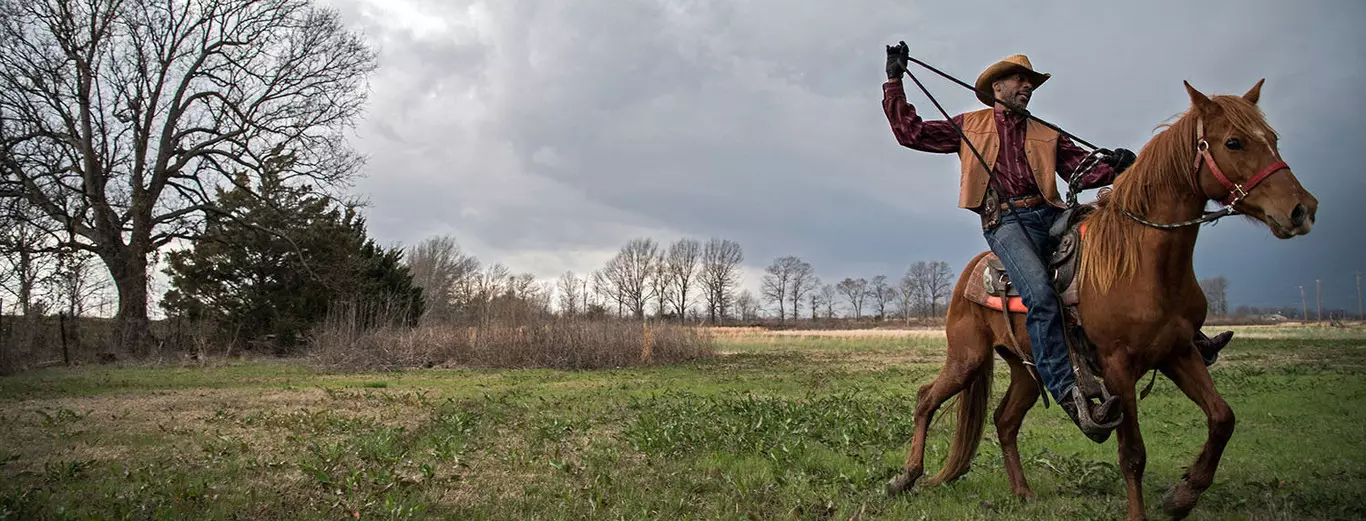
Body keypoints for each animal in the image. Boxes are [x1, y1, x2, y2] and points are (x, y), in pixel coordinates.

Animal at [890, 78, 1316, 519]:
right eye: (1234, 142)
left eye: (1273, 139)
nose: (1302, 209)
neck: (1141, 264)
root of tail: (969, 274)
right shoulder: (1117, 367)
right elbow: (1133, 454)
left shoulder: (1178, 352)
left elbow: (1222, 418)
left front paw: (1183, 494)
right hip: (968, 357)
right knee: (926, 399)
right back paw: (905, 476)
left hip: (1027, 369)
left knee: (1005, 420)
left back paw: (1023, 492)